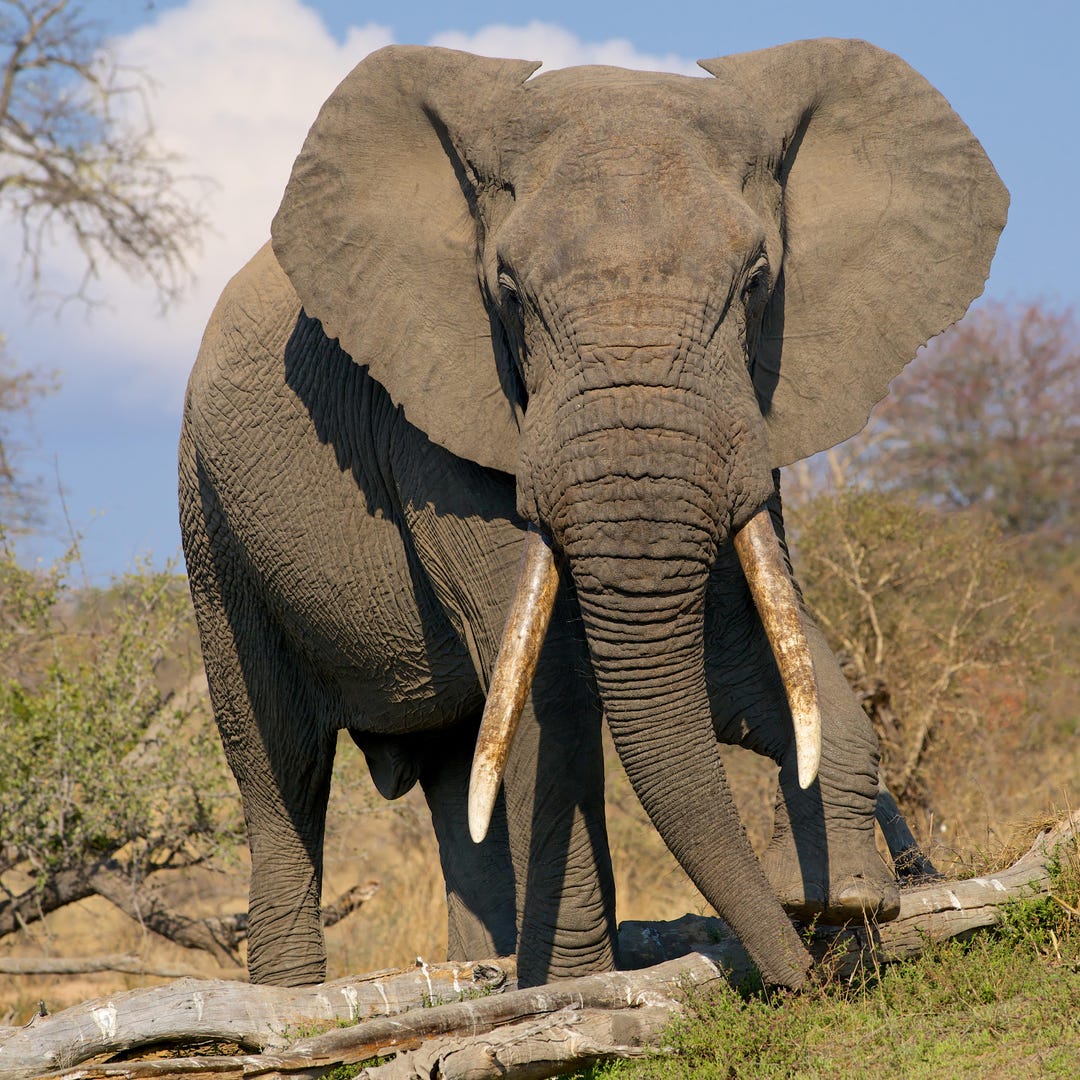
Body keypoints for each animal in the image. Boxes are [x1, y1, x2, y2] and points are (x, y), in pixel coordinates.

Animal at [178, 38, 1007, 990]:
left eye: (757, 280)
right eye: (507, 291)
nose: (804, 983)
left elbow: (742, 636)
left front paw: (841, 895)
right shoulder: (437, 414)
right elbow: (560, 695)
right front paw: (587, 987)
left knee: (457, 771)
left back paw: (488, 971)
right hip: (212, 530)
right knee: (281, 772)